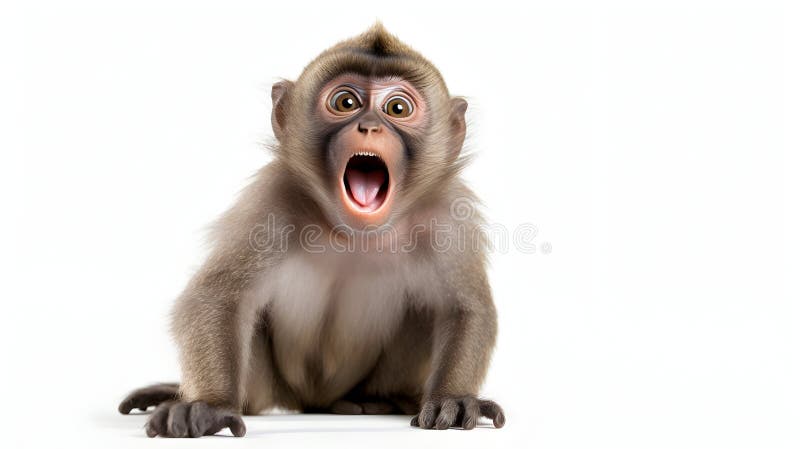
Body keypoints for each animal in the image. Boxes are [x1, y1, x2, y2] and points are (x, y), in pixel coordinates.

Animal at [118, 23, 505, 438]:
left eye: (397, 108)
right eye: (345, 102)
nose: (369, 126)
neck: (354, 232)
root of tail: (312, 402)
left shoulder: (447, 215)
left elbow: (463, 310)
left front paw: (452, 397)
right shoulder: (272, 199)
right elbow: (218, 298)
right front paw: (207, 405)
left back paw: (377, 400)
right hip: (267, 386)